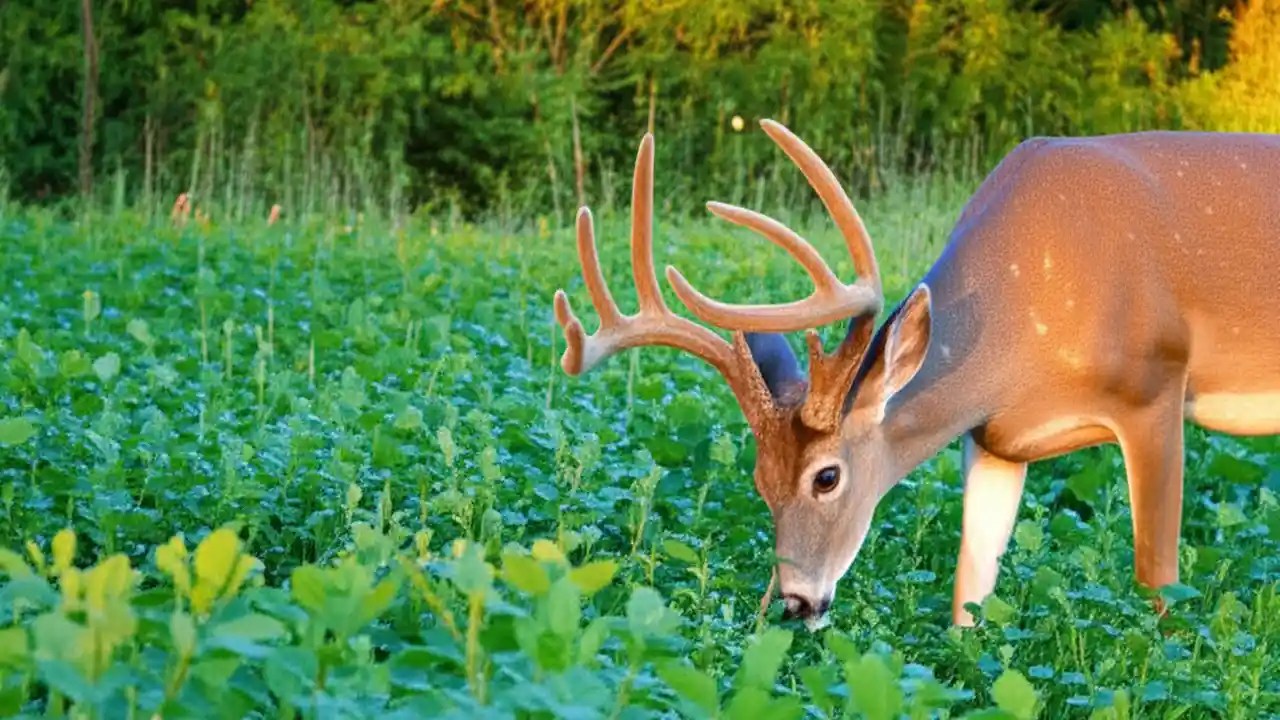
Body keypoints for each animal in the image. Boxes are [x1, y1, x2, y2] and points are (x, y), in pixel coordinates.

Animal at [550, 120, 1280, 628]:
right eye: (759, 480)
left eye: (827, 476)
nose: (794, 603)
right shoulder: (993, 440)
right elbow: (967, 596)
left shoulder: (1154, 385)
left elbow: (1157, 581)